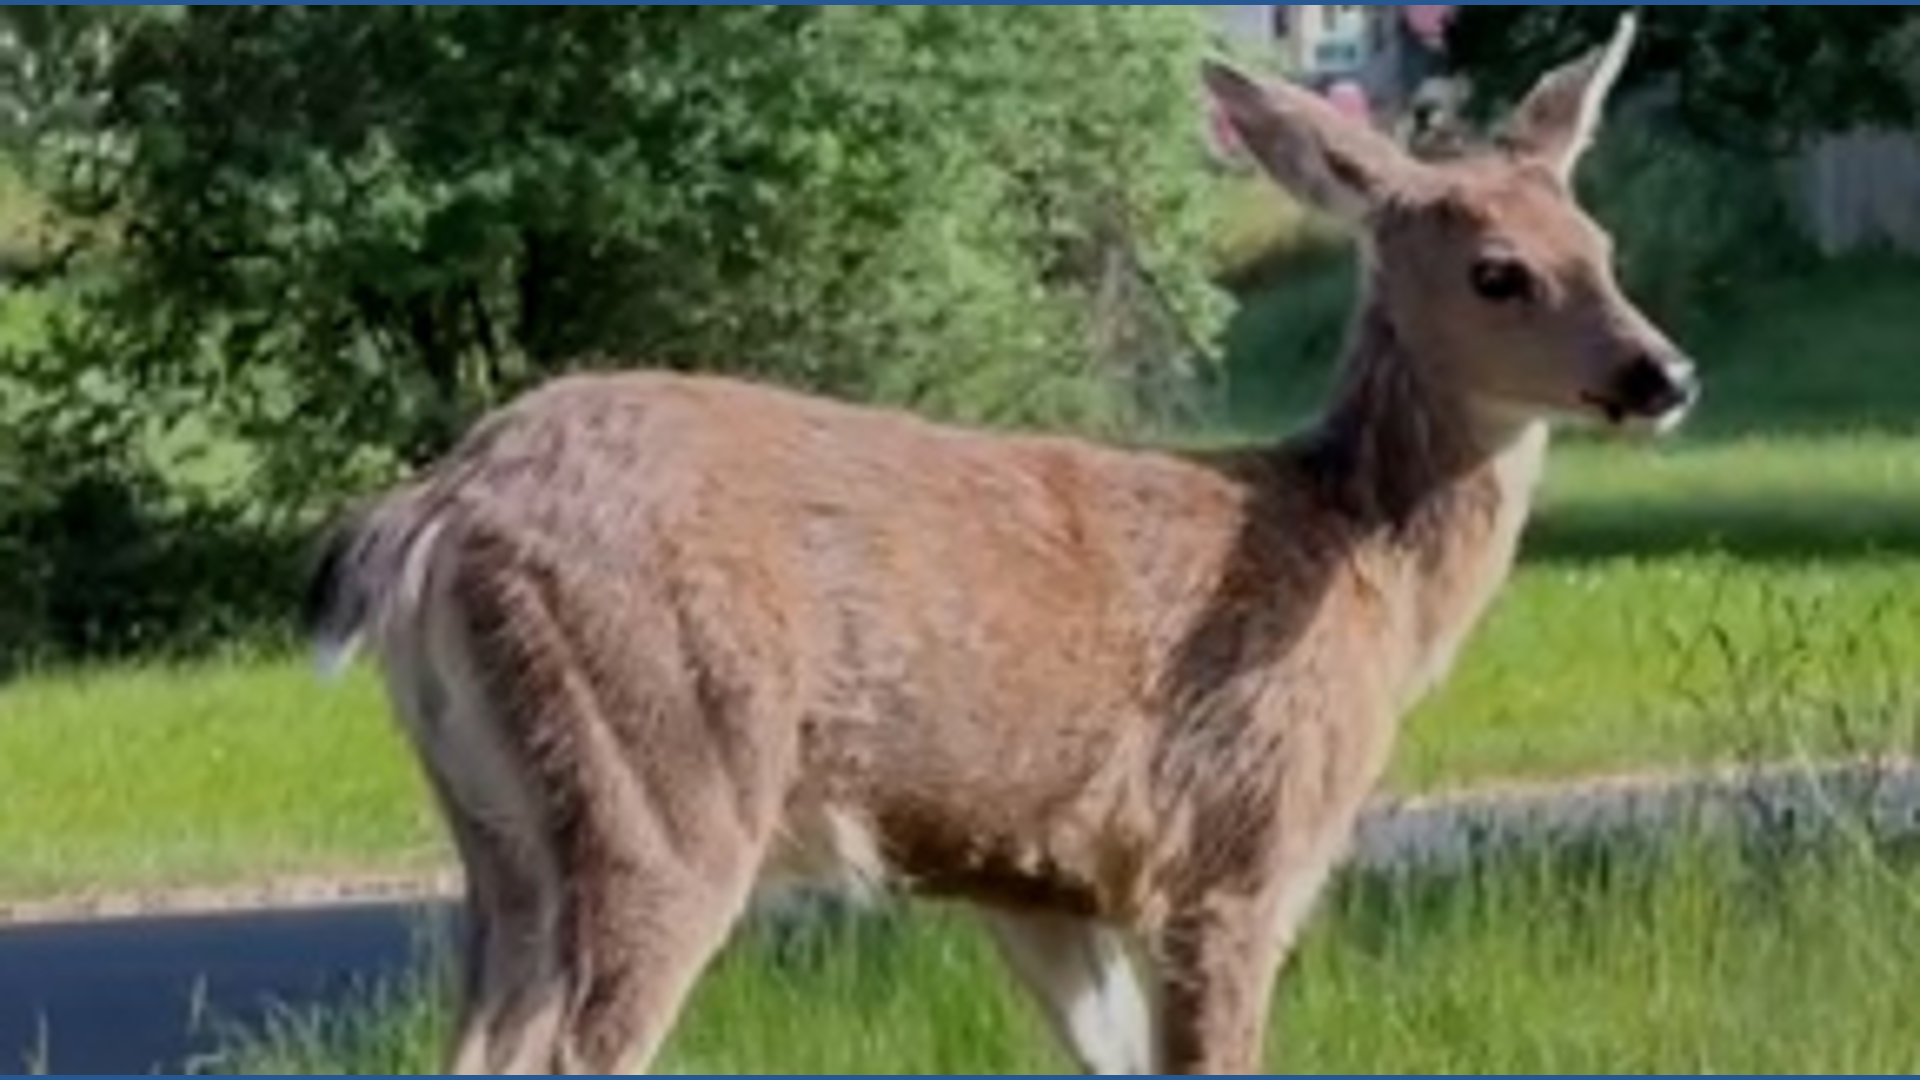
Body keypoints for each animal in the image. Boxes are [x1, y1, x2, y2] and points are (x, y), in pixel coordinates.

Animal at [303, 14, 1694, 1075]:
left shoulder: (1040, 882)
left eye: (1605, 247)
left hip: (501, 832)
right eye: (1499, 271)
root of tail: (435, 510)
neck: (1364, 561)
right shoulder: (1236, 849)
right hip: (662, 772)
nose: (1663, 373)